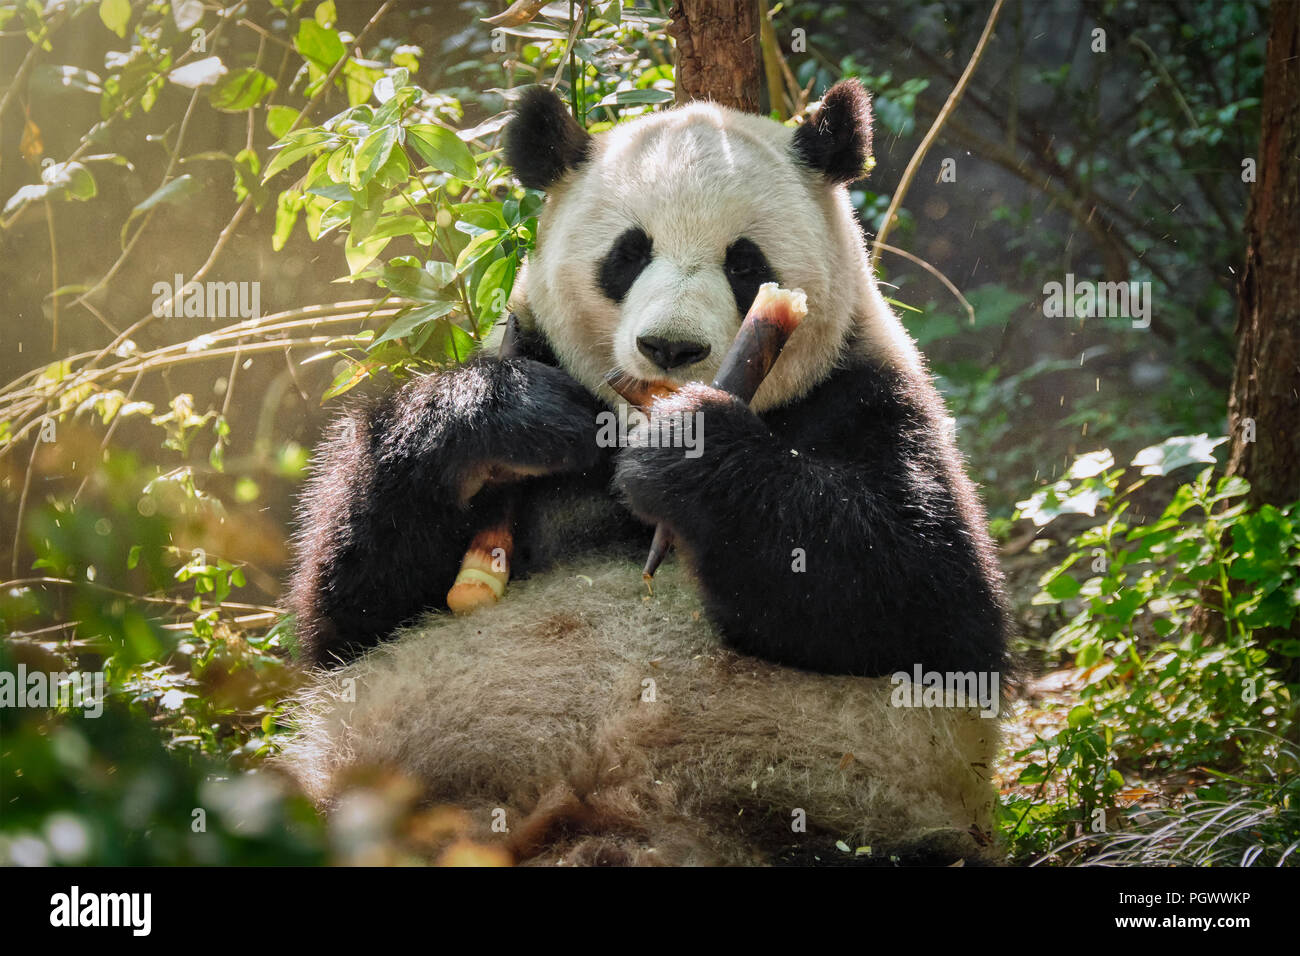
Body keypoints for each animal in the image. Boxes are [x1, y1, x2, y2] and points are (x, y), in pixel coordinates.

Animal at [276, 80, 1010, 866]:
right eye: (628, 254)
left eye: (744, 262)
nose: (672, 349)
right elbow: (351, 609)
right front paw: (507, 416)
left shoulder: (870, 396)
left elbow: (929, 601)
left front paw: (690, 451)